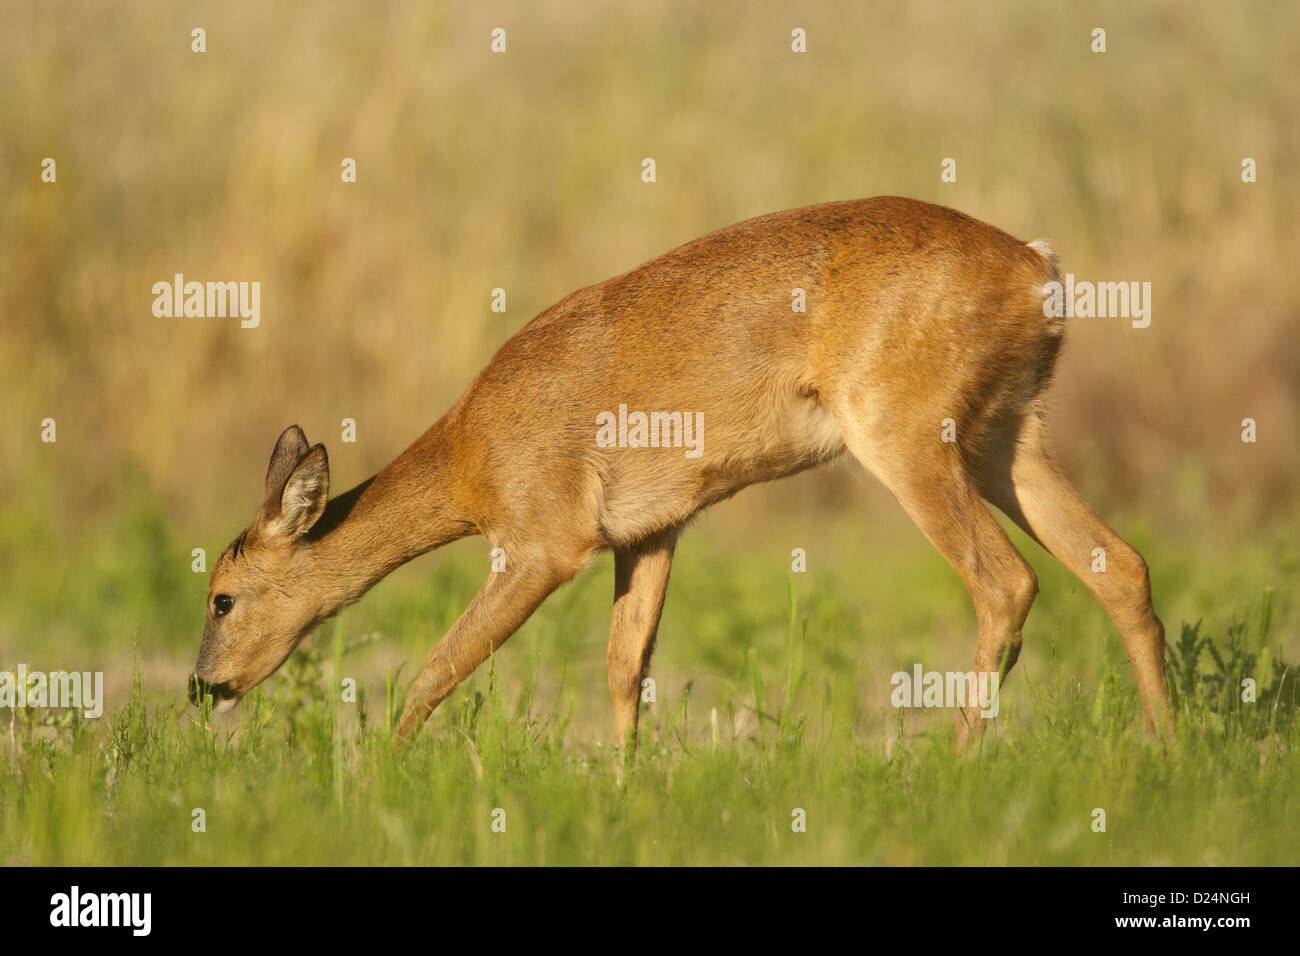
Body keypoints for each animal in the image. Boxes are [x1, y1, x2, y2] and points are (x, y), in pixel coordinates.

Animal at [189, 196, 1174, 750]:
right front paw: (623, 791)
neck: (472, 453)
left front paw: (381, 774)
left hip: (906, 434)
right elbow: (625, 668)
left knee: (1005, 582)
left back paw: (956, 766)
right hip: (1006, 433)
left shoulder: (545, 540)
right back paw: (1167, 752)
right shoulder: (653, 529)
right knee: (1120, 565)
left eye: (223, 596)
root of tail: (1039, 266)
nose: (205, 687)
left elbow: (437, 664)